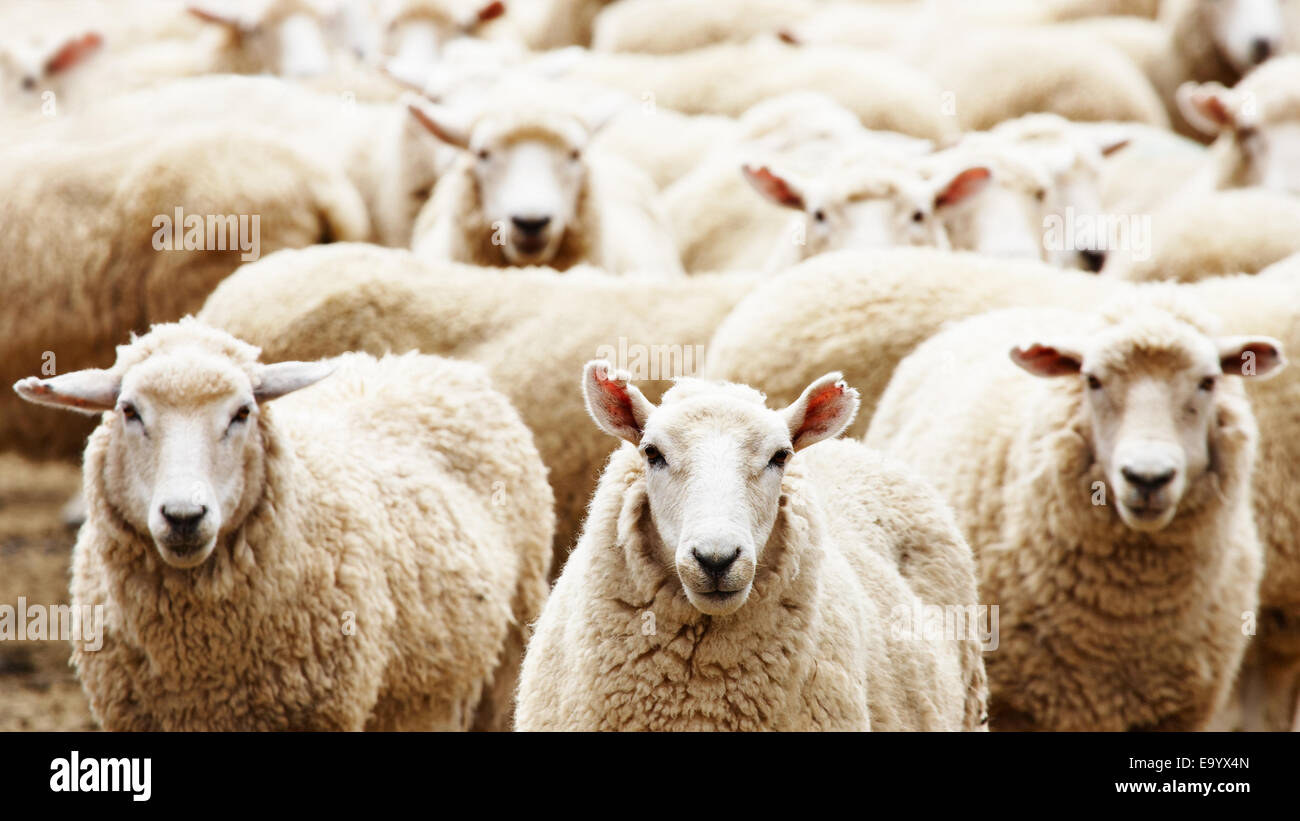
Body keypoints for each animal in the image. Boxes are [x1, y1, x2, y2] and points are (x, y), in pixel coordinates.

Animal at [12, 318, 553, 731]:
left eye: (242, 412)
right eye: (129, 411)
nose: (184, 517)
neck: (201, 660)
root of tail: (430, 362)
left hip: (507, 657)